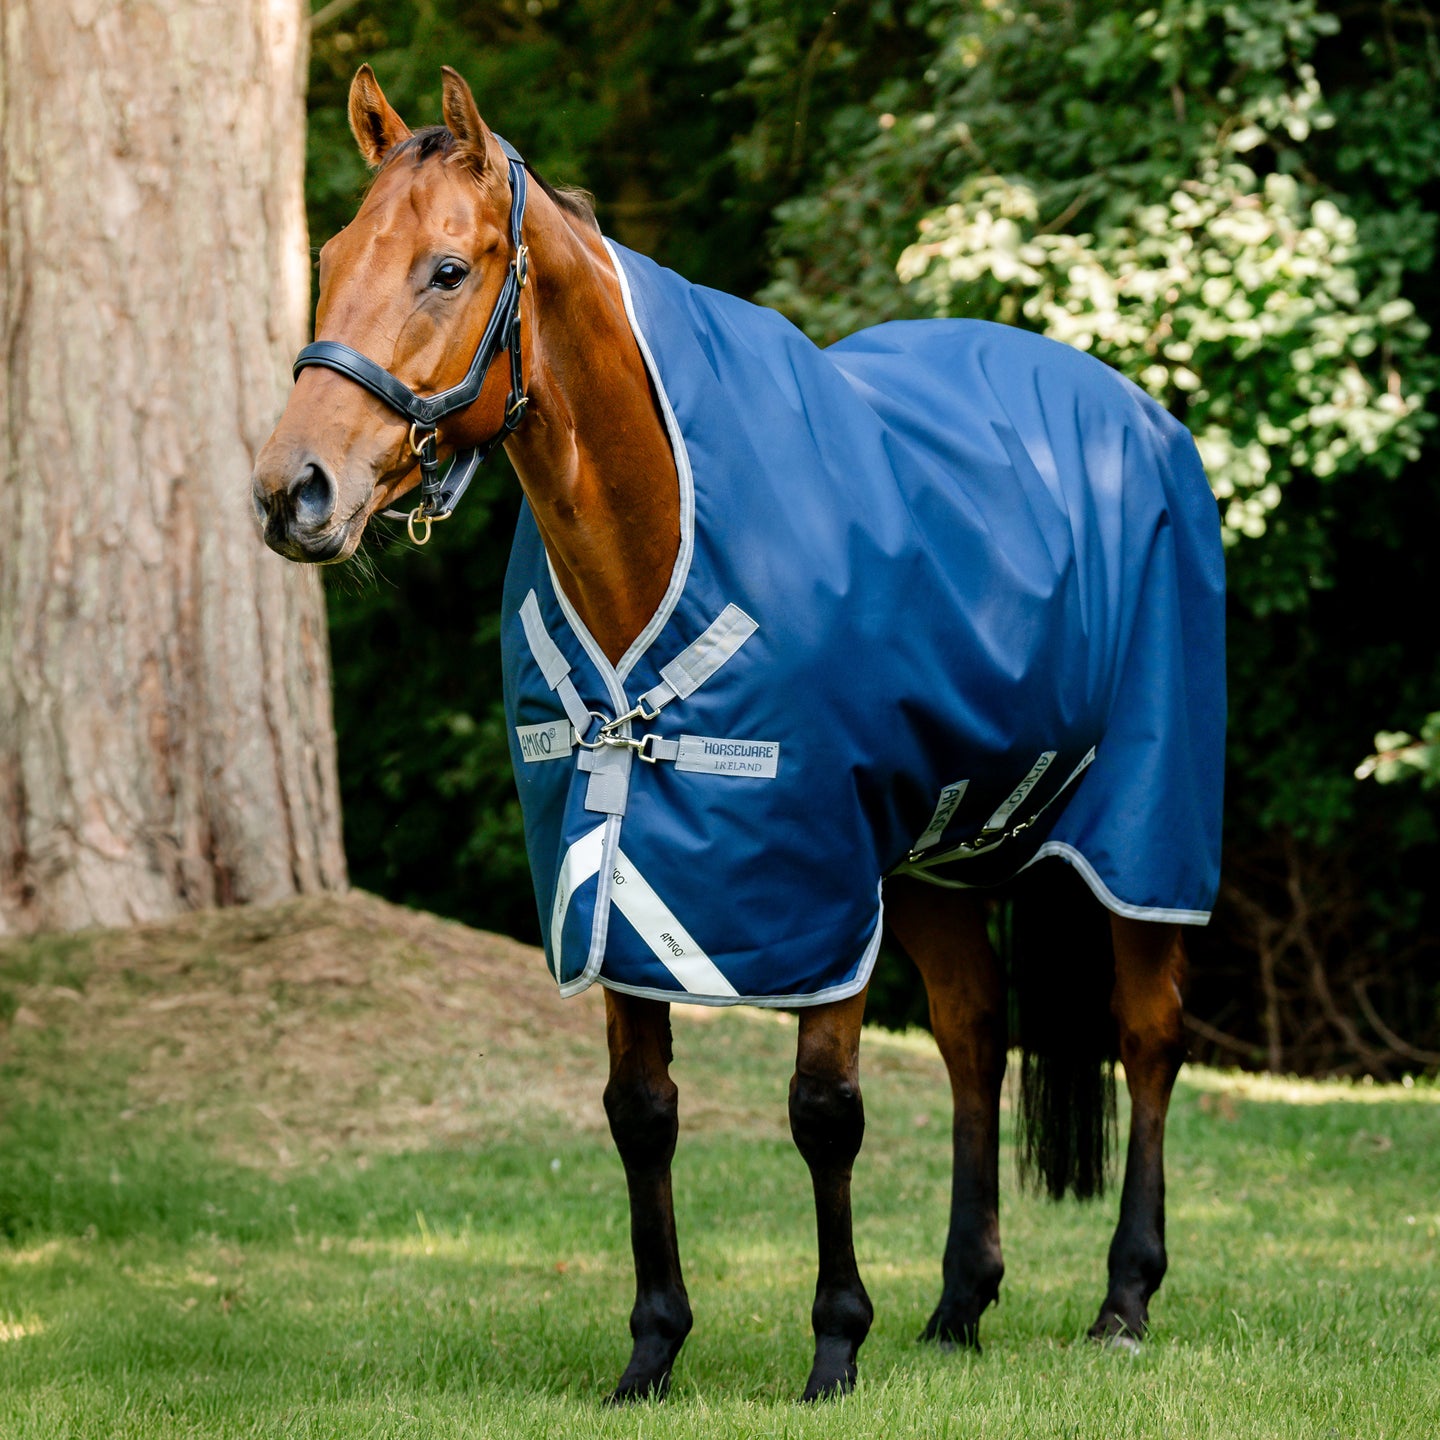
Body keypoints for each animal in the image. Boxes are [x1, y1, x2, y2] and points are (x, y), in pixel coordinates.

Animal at [252, 65, 1225, 1403]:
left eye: (447, 270)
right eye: (334, 254)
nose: (291, 492)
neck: (662, 528)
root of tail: (1141, 419)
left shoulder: (817, 883)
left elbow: (825, 1112)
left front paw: (835, 1346)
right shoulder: (607, 874)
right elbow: (640, 1109)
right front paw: (653, 1350)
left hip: (1142, 832)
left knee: (1149, 1038)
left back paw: (1124, 1298)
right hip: (929, 859)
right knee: (976, 1036)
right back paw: (958, 1307)